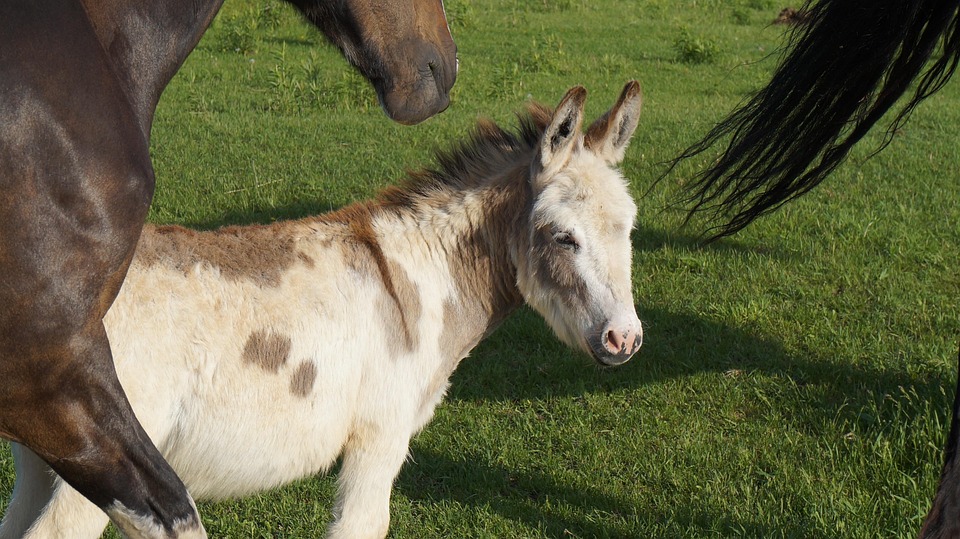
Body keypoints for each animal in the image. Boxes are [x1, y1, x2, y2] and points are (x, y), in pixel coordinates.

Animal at [0, 81, 644, 539]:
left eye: (630, 229)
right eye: (563, 237)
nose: (625, 340)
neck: (424, 278)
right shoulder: (379, 437)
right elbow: (363, 526)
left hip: (45, 455)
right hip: (107, 459)